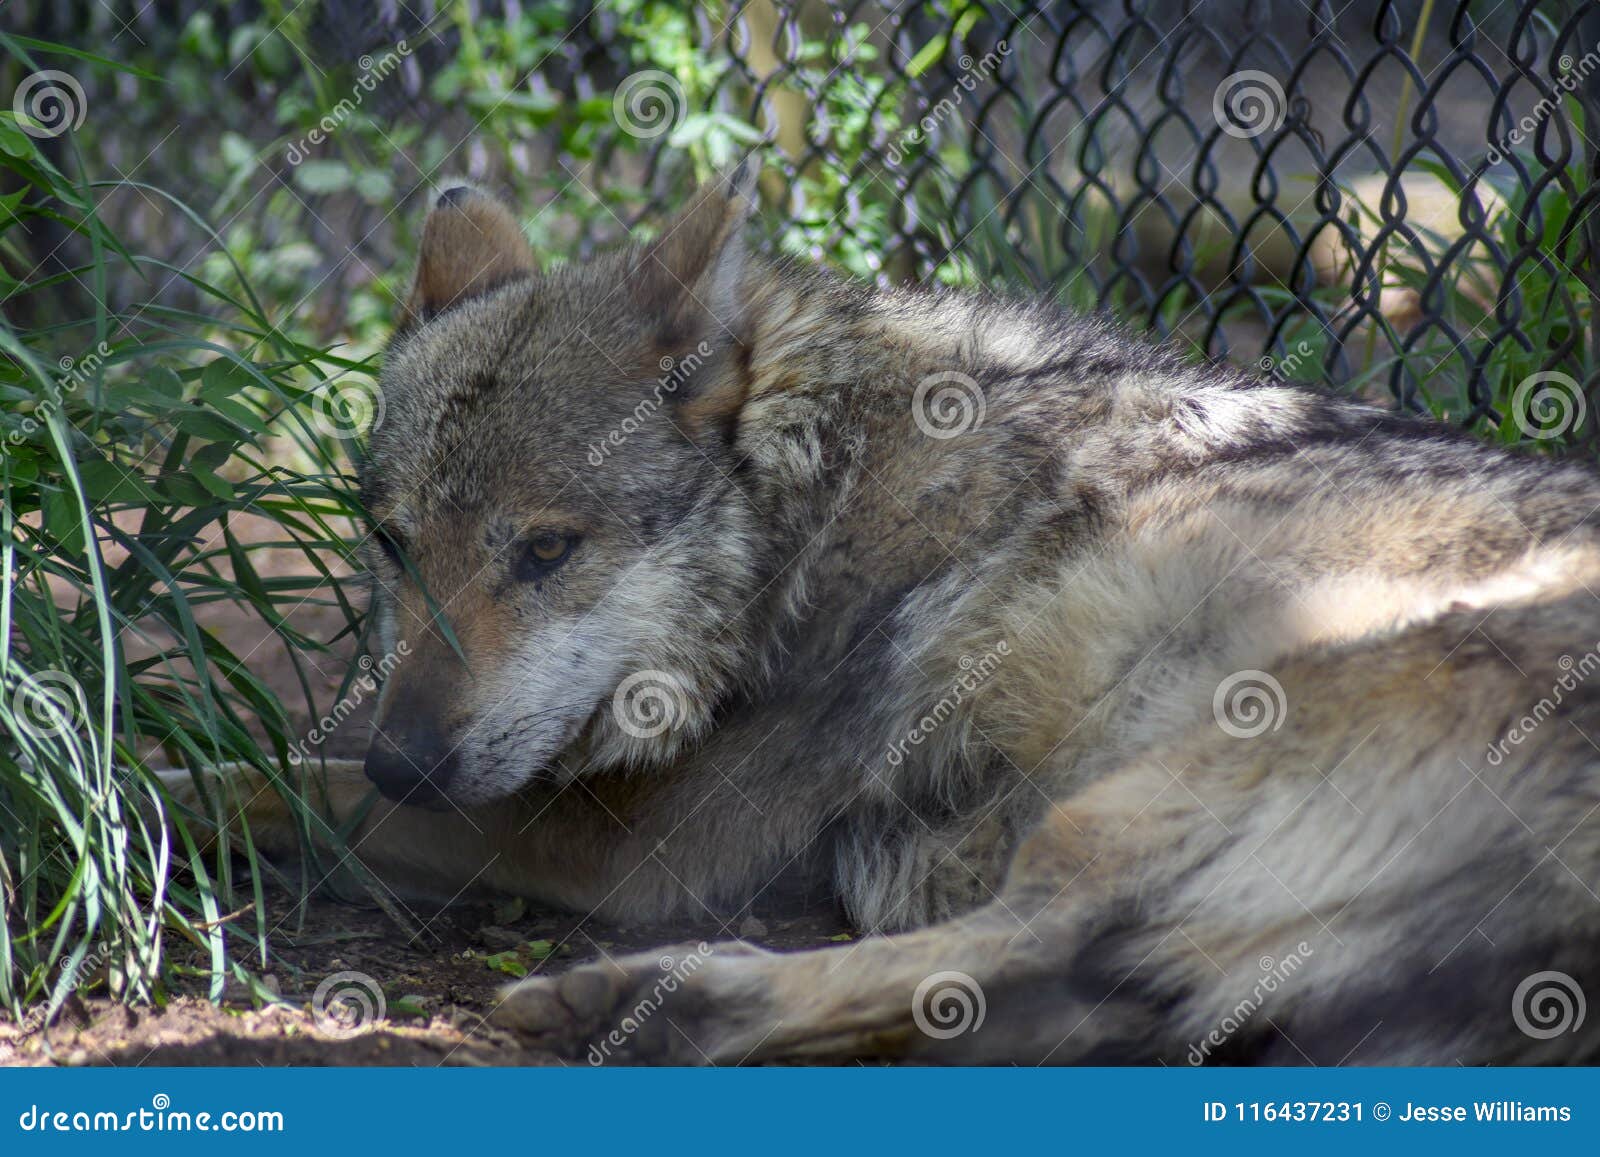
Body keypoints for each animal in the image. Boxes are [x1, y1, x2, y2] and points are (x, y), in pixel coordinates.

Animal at [181, 165, 1600, 1064]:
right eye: (391, 544)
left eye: (544, 550)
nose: (405, 764)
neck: (832, 488)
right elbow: (270, 767)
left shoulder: (642, 848)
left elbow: (263, 782)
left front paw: (152, 785)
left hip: (1185, 764)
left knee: (1029, 941)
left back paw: (647, 1002)